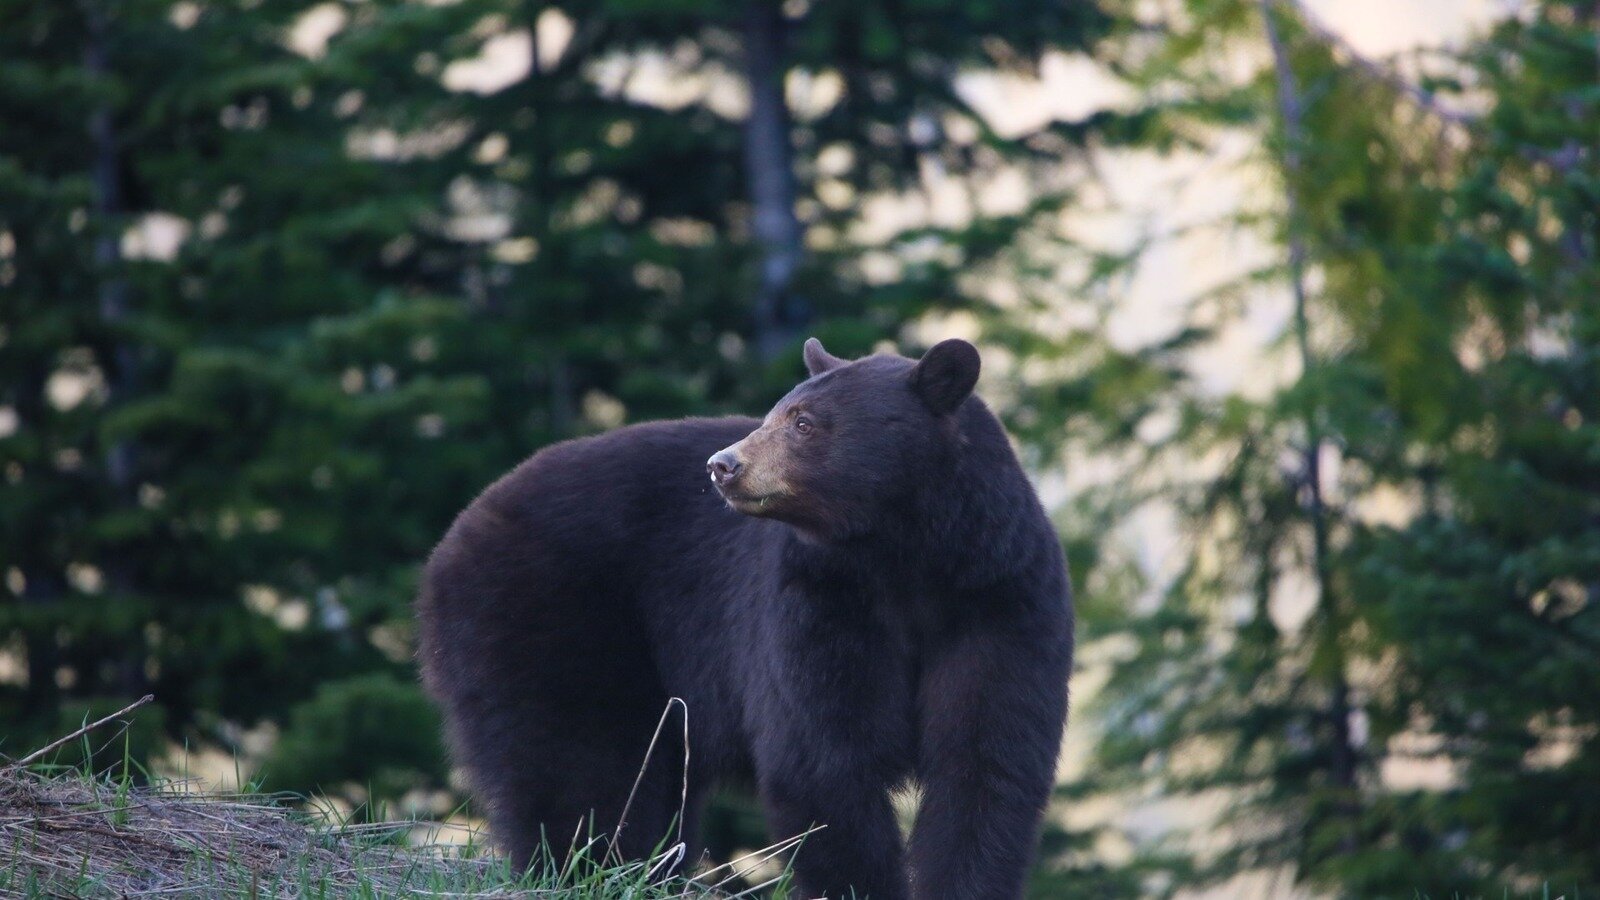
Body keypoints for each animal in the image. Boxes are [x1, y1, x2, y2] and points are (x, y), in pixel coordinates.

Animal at [416, 338, 1073, 900]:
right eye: (775, 412)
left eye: (804, 423)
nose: (722, 465)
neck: (903, 562)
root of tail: (454, 537)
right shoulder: (812, 605)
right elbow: (820, 757)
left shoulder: (1001, 600)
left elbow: (986, 760)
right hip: (547, 611)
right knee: (574, 759)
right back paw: (593, 870)